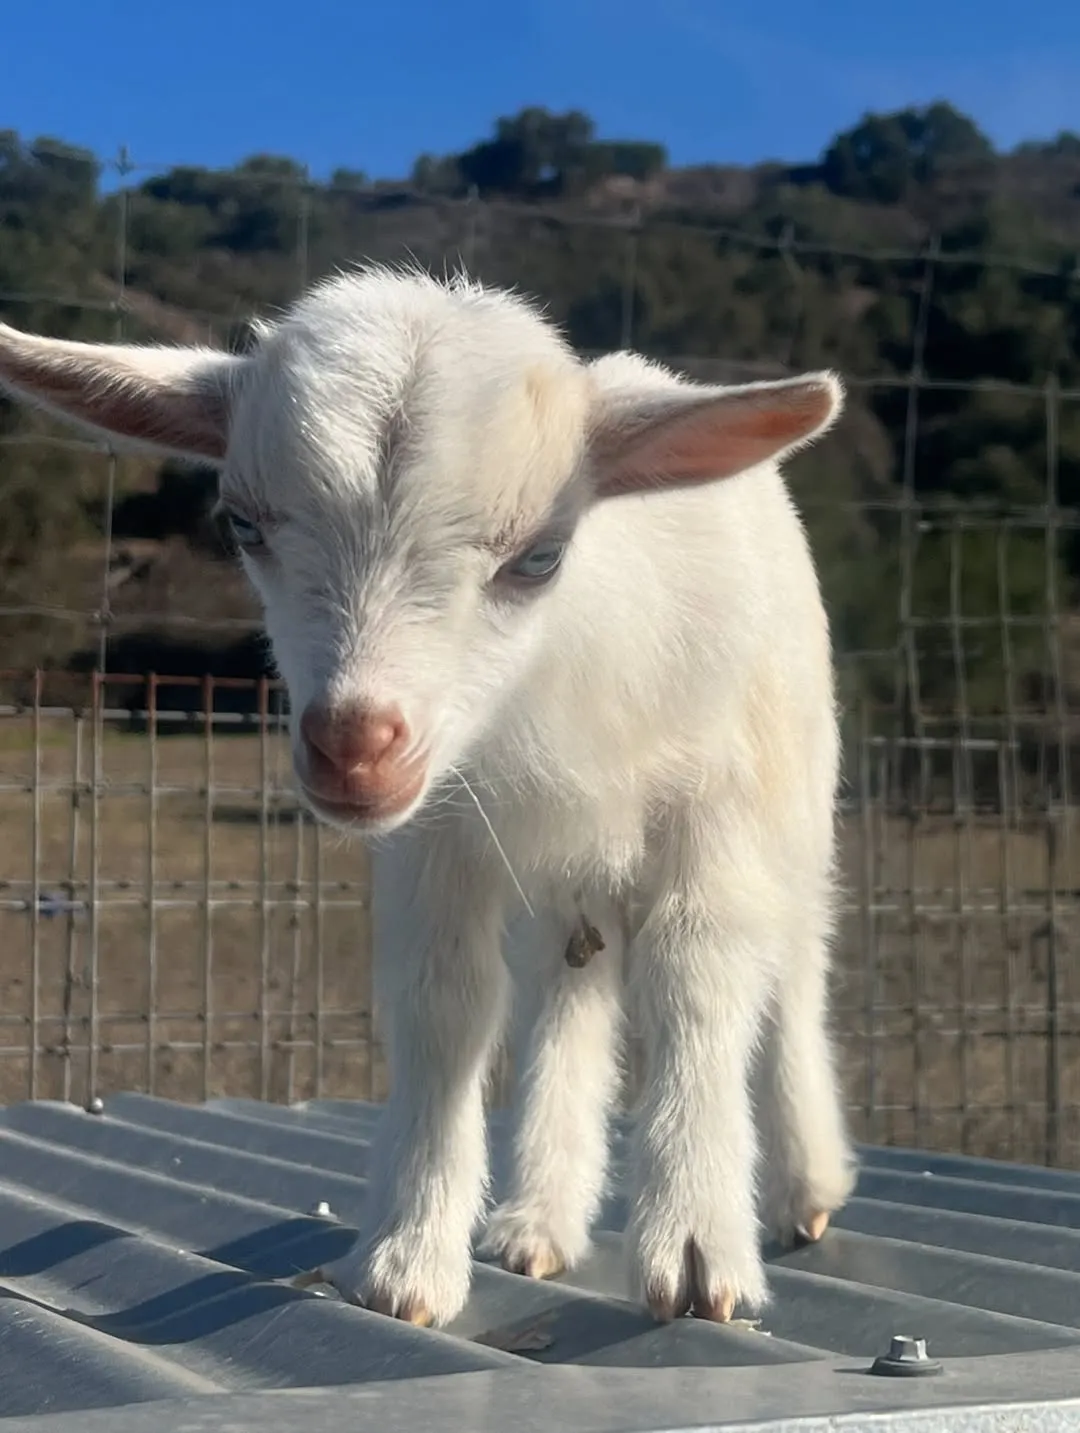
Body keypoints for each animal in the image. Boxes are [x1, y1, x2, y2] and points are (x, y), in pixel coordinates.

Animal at [0, 267, 857, 1328]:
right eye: (243, 525)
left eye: (540, 556)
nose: (352, 746)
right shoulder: (443, 834)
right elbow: (444, 1001)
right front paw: (406, 1260)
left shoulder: (717, 807)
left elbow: (699, 981)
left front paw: (699, 1253)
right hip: (562, 881)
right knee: (567, 988)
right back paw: (540, 1218)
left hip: (797, 794)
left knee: (793, 966)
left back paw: (806, 1184)